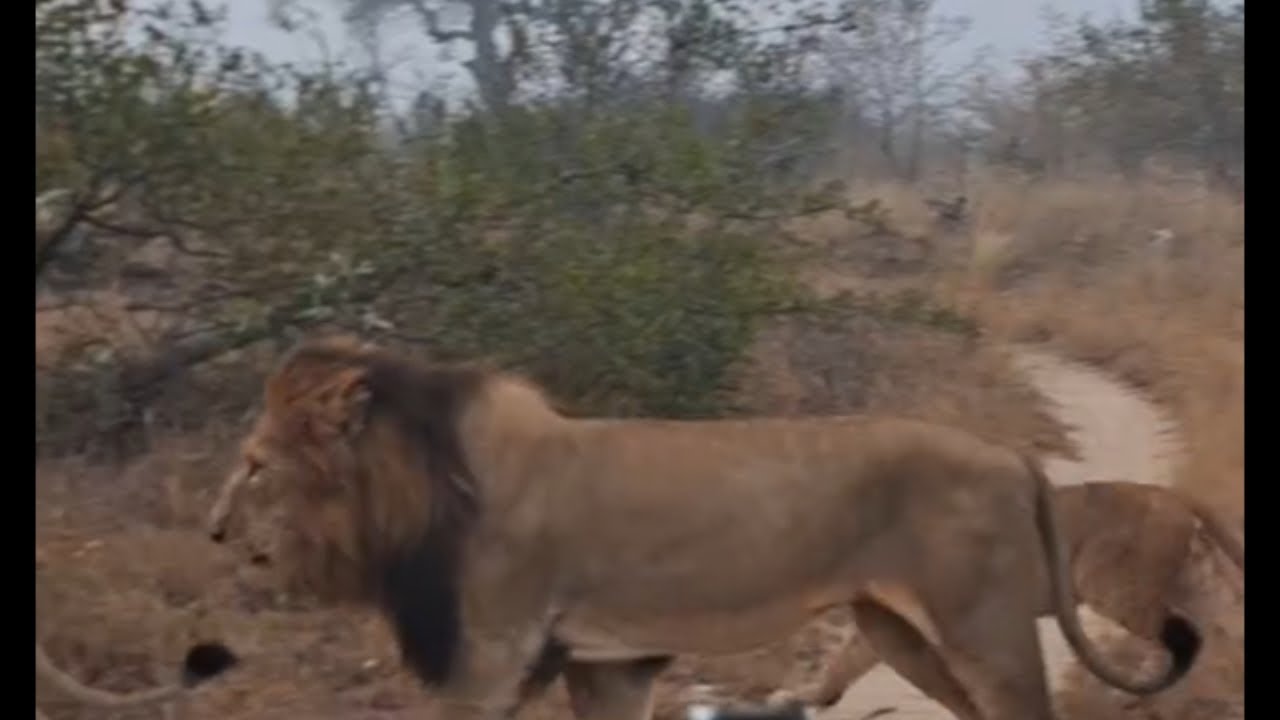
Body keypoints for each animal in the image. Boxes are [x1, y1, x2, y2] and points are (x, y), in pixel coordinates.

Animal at [766, 480, 1244, 711]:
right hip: (1192, 576)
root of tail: (1168, 492)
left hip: (1108, 584)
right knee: (1227, 616)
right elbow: (846, 662)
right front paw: (809, 697)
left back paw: (1133, 695)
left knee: (1173, 634)